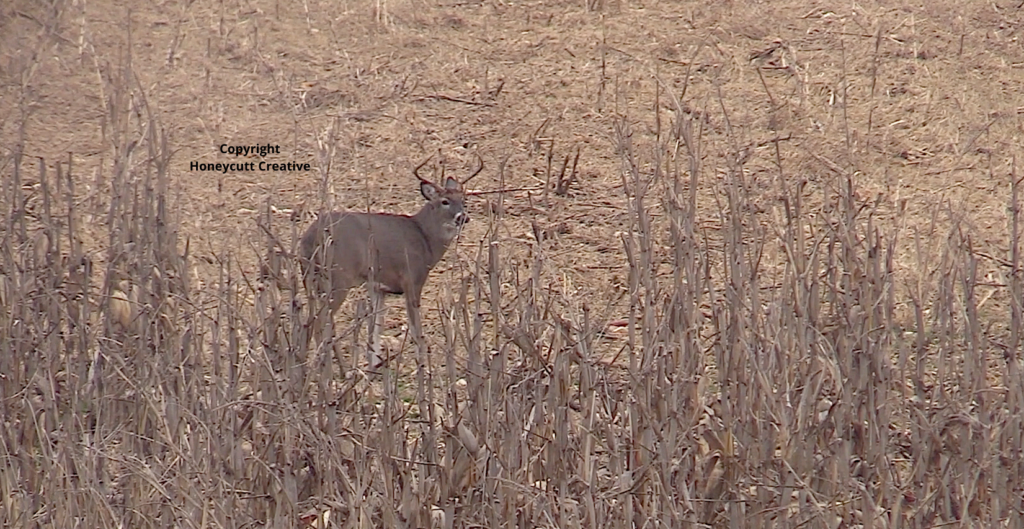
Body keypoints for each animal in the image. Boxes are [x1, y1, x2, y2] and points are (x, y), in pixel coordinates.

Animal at [298, 155, 482, 367]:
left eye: (464, 200)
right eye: (445, 201)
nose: (463, 217)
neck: (425, 239)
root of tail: (311, 238)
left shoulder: (379, 287)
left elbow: (376, 328)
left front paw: (374, 364)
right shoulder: (412, 278)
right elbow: (416, 329)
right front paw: (422, 363)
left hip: (311, 279)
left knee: (309, 321)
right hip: (339, 276)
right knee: (321, 321)